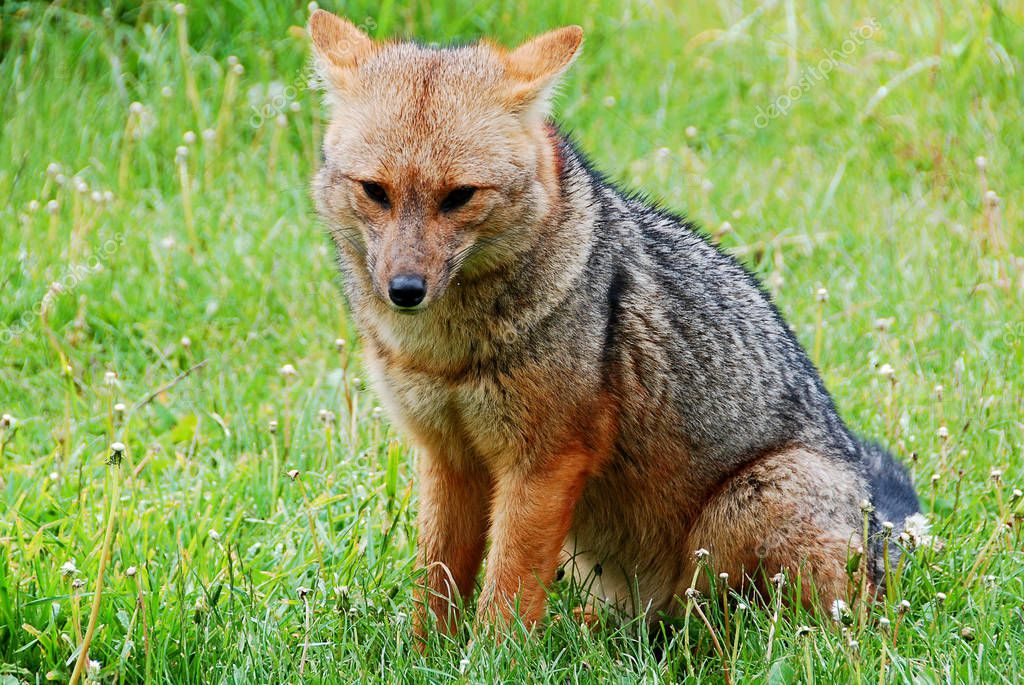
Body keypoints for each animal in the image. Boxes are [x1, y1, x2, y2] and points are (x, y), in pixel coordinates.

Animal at [306, 10, 921, 637]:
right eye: (375, 191)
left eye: (459, 197)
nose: (405, 290)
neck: (447, 354)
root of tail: (877, 538)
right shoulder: (448, 457)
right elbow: (436, 587)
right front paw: (427, 652)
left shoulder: (545, 461)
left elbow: (507, 592)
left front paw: (494, 654)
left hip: (744, 513)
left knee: (730, 631)